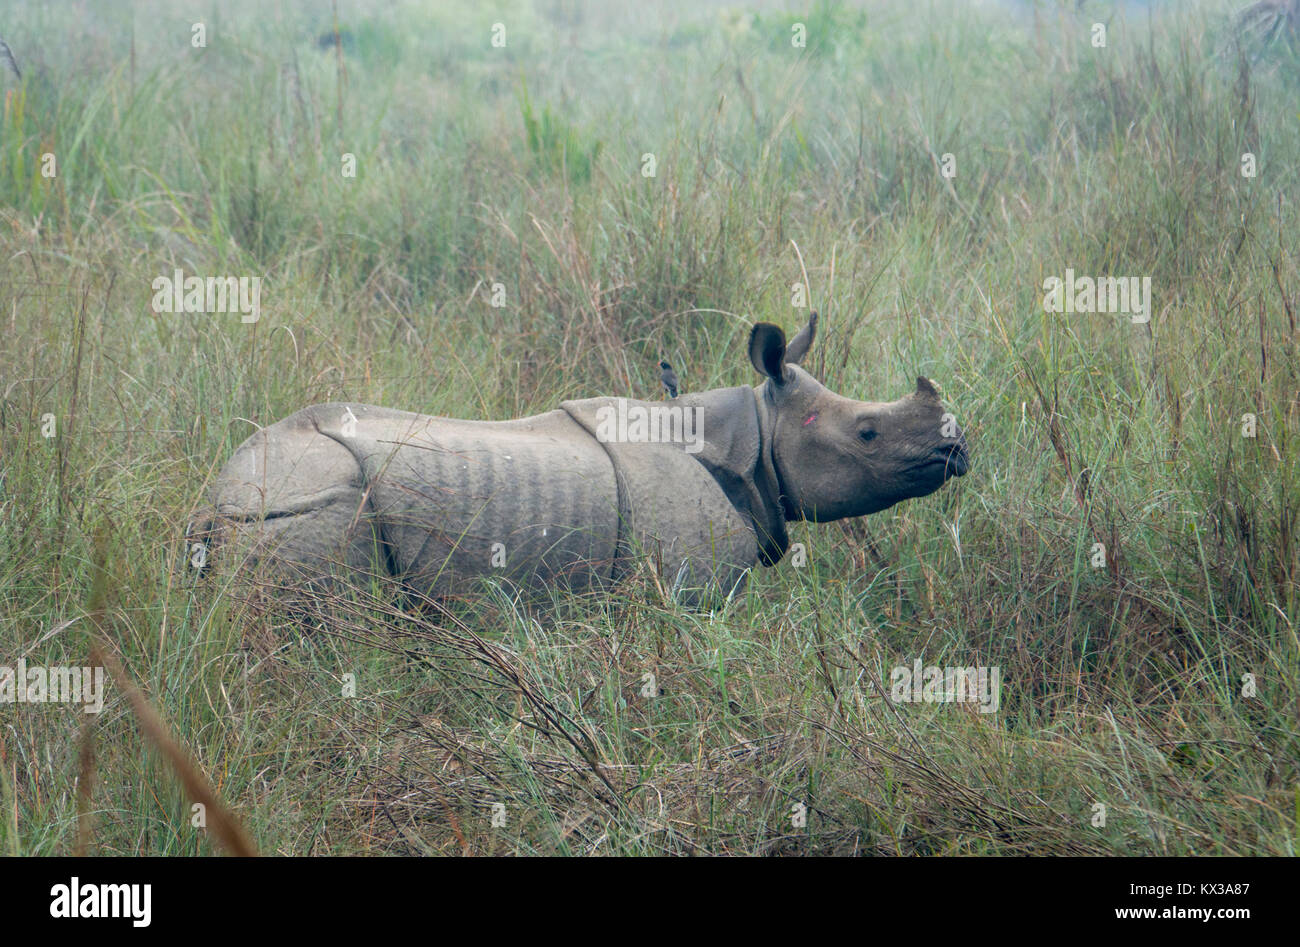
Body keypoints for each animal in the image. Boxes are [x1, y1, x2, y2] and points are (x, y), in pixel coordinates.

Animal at [200, 316, 969, 602]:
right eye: (867, 433)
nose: (957, 449)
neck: (751, 435)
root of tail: (219, 497)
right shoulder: (685, 590)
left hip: (265, 512)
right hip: (310, 510)